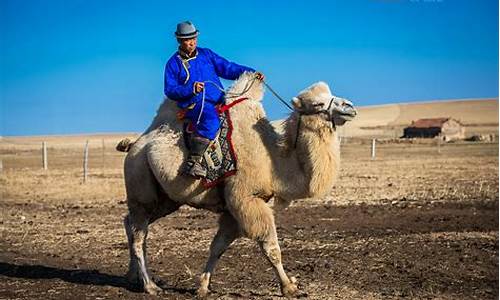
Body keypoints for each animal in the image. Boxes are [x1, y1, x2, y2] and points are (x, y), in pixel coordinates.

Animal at [120, 72, 356, 298]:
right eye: (317, 103)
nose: (350, 107)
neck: (273, 161)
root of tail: (135, 145)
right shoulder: (245, 199)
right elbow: (270, 247)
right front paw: (289, 287)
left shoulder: (233, 209)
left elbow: (218, 247)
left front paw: (202, 287)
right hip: (140, 183)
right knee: (139, 234)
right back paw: (150, 286)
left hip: (167, 200)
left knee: (131, 223)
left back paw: (133, 276)